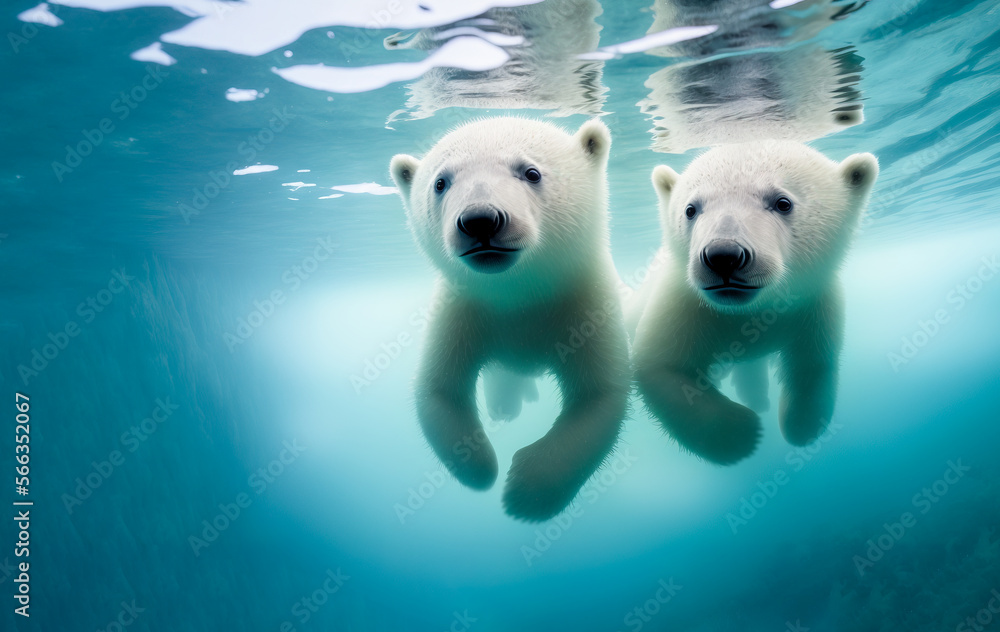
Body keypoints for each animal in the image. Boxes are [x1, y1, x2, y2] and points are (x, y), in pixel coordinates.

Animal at [389, 117, 631, 521]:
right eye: (440, 182)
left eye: (531, 172)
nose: (480, 220)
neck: (517, 294)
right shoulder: (465, 308)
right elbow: (437, 389)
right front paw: (482, 469)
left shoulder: (583, 303)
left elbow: (599, 396)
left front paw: (528, 490)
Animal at [629, 141, 878, 465]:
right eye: (690, 209)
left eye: (783, 202)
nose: (723, 256)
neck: (750, 311)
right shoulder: (684, 303)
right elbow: (659, 365)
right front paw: (738, 433)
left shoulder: (814, 303)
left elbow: (813, 363)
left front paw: (801, 426)